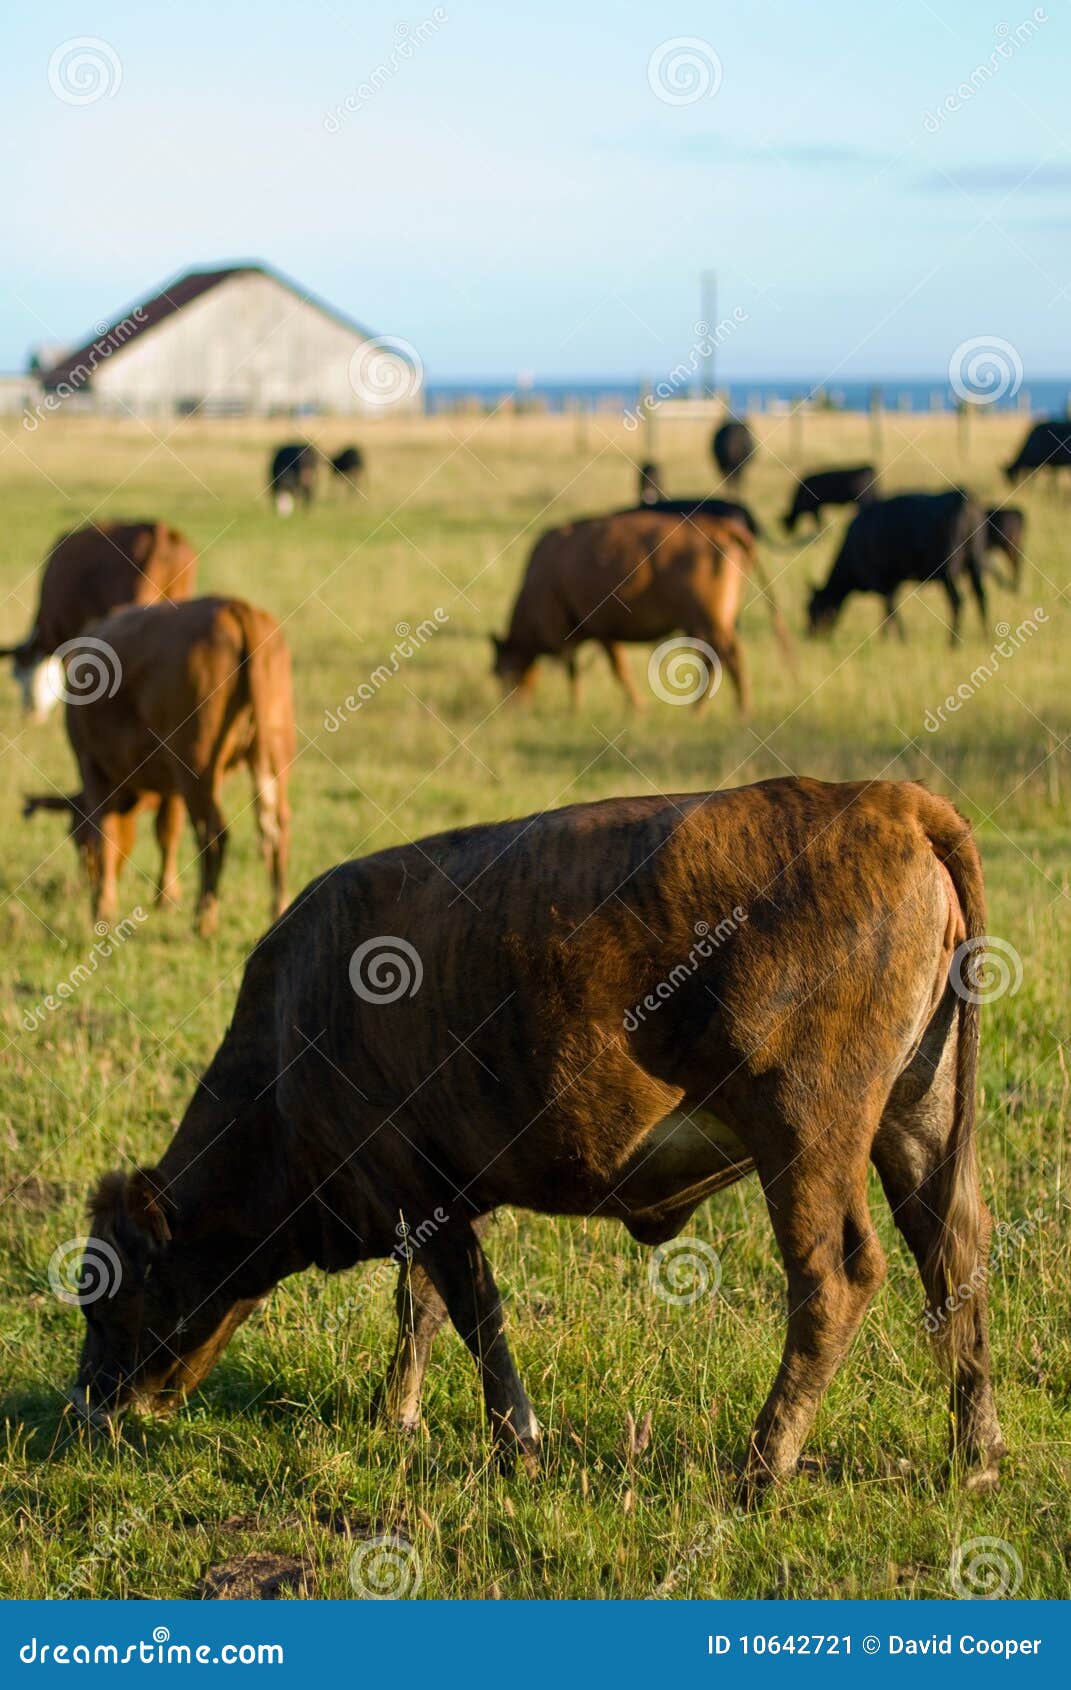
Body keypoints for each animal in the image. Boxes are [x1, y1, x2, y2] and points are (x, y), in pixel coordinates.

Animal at [22, 597, 293, 937]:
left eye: (76, 839)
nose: (85, 880)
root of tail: (233, 606)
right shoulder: (171, 781)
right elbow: (167, 831)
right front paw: (165, 897)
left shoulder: (92, 766)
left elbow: (105, 835)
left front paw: (102, 907)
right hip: (269, 757)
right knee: (276, 829)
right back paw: (278, 908)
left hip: (198, 768)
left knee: (214, 835)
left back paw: (204, 919)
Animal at [66, 776, 1005, 1507]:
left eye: (108, 1298)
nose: (84, 1409)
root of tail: (886, 801)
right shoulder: (435, 1195)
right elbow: (424, 1307)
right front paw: (396, 1415)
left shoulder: (419, 1189)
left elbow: (473, 1311)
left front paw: (514, 1441)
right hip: (916, 1125)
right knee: (951, 1255)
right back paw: (975, 1454)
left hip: (806, 1135)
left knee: (834, 1279)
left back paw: (760, 1467)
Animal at [492, 509, 755, 712]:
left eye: (505, 671)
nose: (510, 709)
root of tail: (718, 526)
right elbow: (575, 670)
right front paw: (575, 706)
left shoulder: (601, 631)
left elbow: (617, 670)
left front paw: (637, 707)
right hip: (708, 623)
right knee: (714, 659)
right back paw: (699, 708)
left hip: (708, 622)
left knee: (730, 657)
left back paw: (737, 709)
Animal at [807, 491, 988, 643]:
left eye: (812, 609)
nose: (811, 636)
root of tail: (963, 499)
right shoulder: (893, 583)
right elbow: (888, 610)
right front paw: (886, 637)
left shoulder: (881, 582)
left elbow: (890, 608)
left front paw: (900, 638)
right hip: (975, 563)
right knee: (981, 596)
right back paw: (985, 635)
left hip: (948, 571)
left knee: (957, 601)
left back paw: (952, 642)